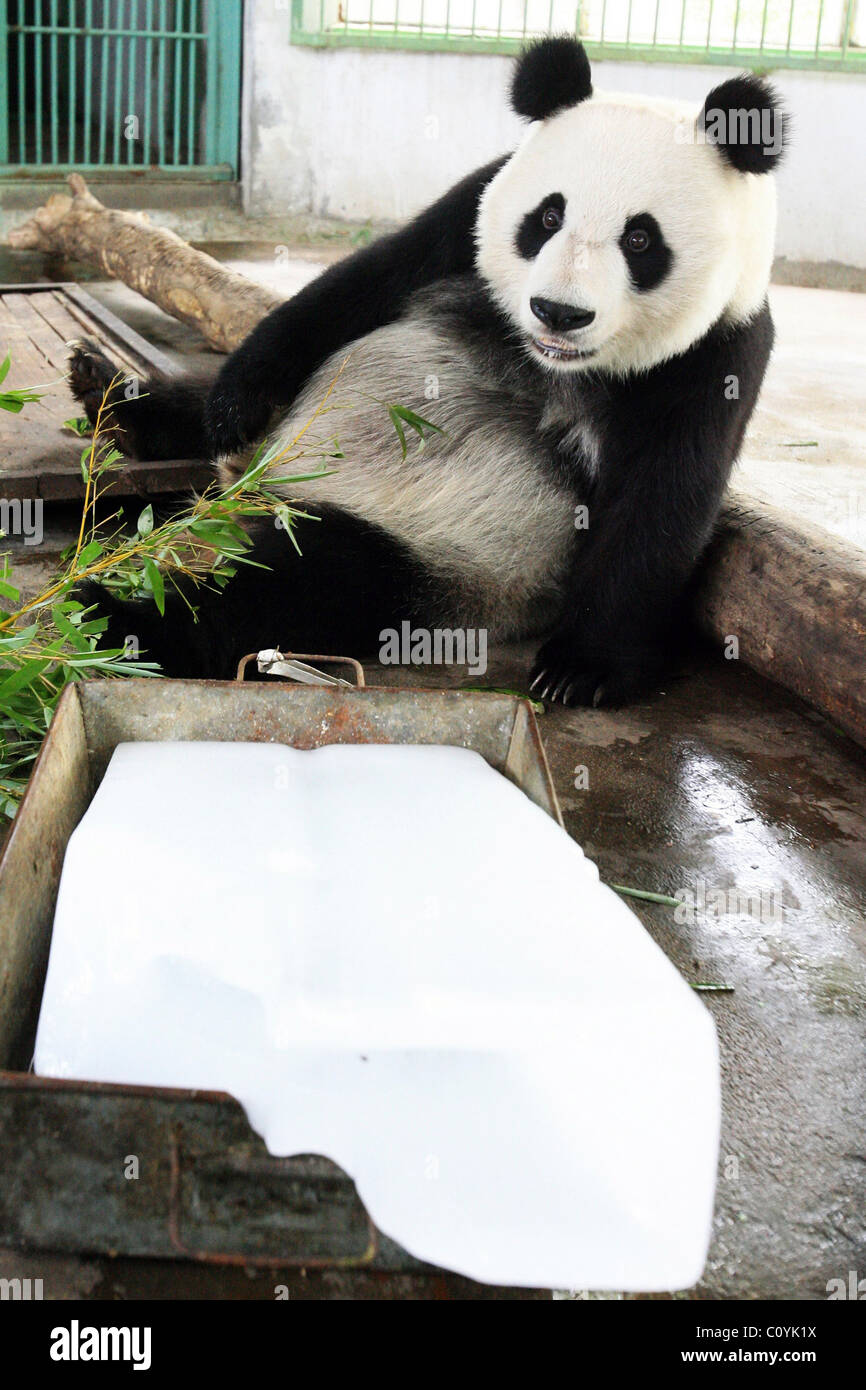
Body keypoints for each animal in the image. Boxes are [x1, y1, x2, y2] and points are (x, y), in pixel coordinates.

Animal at [70, 37, 785, 706]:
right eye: (547, 217)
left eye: (640, 240)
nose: (558, 311)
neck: (546, 358)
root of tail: (253, 494)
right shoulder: (464, 219)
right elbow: (354, 291)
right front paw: (233, 403)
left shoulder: (715, 354)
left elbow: (660, 501)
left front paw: (580, 668)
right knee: (199, 408)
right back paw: (114, 397)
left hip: (451, 556)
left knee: (304, 586)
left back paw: (121, 622)